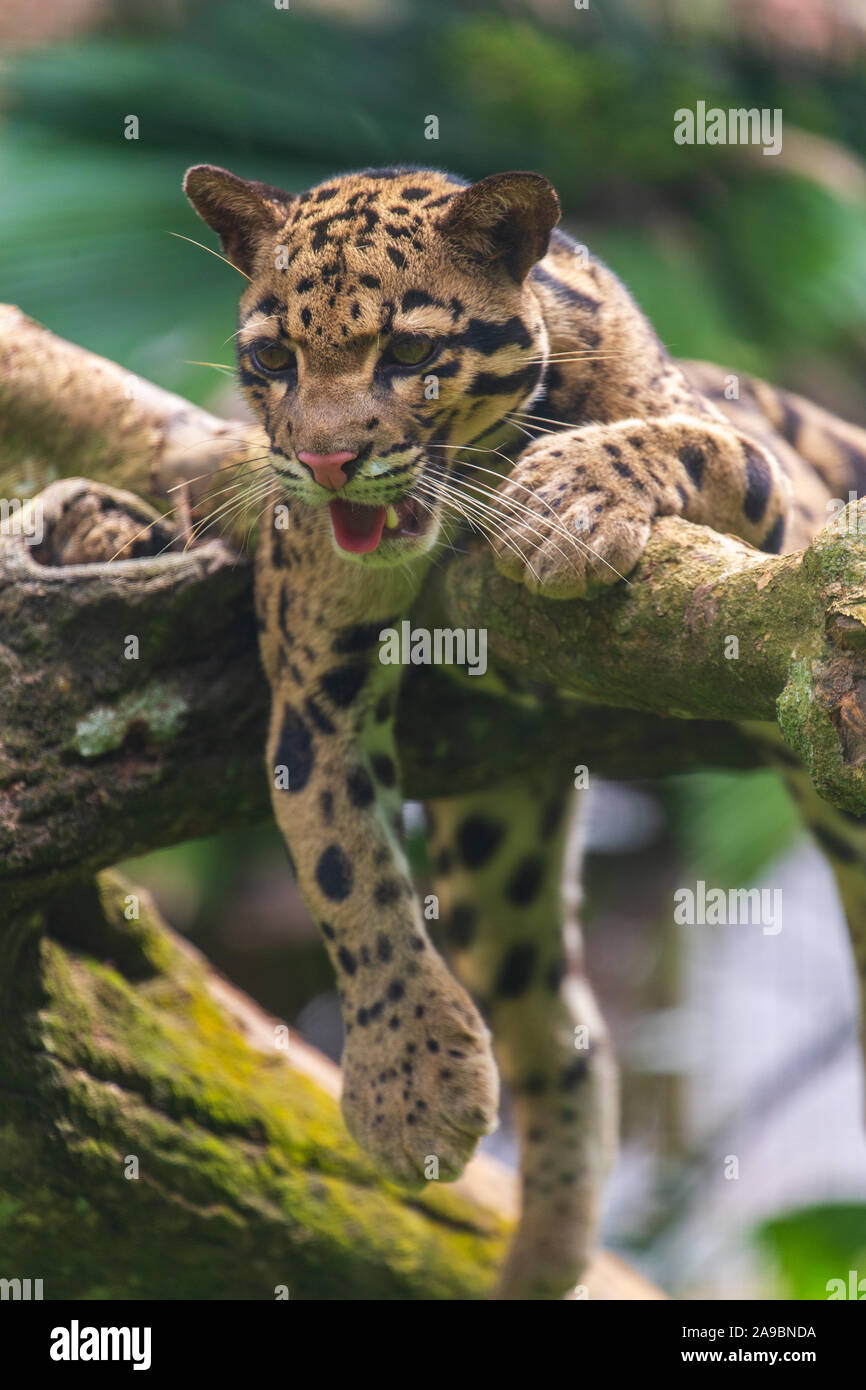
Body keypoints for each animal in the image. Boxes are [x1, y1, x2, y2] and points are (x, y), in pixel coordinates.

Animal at [182, 160, 866, 1300]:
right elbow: (340, 862)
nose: (323, 463)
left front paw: (572, 496)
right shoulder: (311, 680)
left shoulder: (804, 542)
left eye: (410, 354)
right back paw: (545, 1249)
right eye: (274, 359)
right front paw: (407, 1080)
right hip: (496, 845)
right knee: (561, 1031)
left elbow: (698, 438)